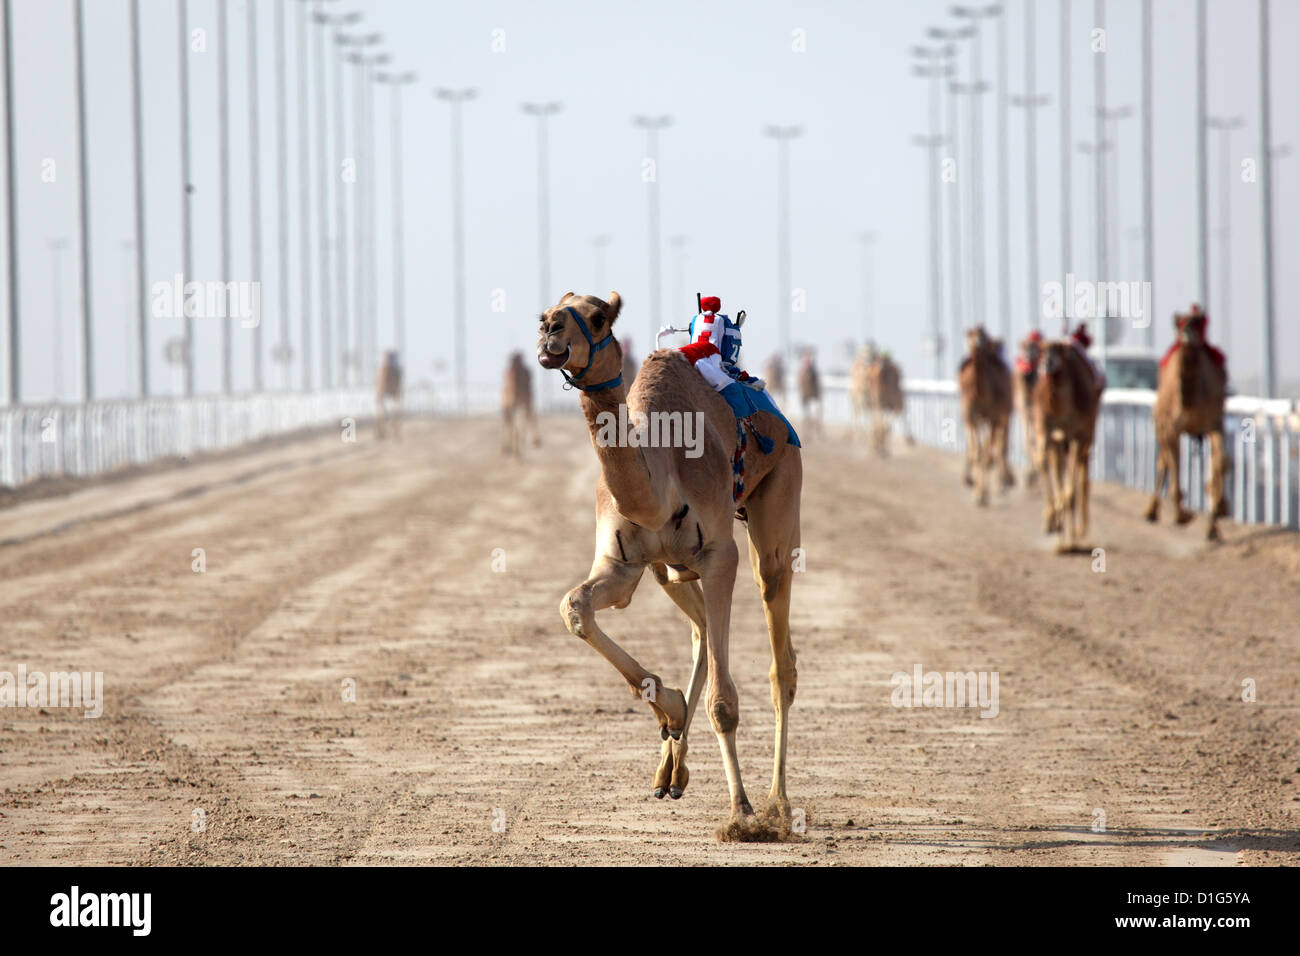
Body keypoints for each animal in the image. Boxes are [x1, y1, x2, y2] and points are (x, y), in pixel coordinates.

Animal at [536, 291, 802, 837]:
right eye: (546, 312)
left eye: (597, 318)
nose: (550, 334)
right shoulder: (622, 565)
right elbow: (575, 607)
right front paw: (671, 708)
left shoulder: (721, 556)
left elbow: (724, 701)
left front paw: (741, 814)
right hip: (670, 571)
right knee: (700, 631)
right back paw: (671, 768)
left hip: (779, 495)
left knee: (779, 654)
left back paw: (778, 805)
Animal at [958, 327, 1014, 504]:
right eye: (970, 334)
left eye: (982, 334)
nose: (978, 344)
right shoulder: (970, 417)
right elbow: (977, 453)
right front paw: (978, 494)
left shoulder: (994, 418)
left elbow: (987, 454)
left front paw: (983, 494)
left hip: (1006, 413)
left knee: (1001, 446)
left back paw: (1005, 483)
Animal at [1032, 336, 1101, 552]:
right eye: (1042, 350)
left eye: (1059, 351)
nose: (1047, 363)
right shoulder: (1049, 434)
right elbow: (1046, 467)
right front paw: (1056, 528)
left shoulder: (1076, 436)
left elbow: (1070, 492)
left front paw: (1068, 543)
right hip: (1060, 443)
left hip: (1086, 436)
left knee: (1081, 478)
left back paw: (1076, 533)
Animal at [1144, 305, 1229, 541]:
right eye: (1179, 323)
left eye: (1198, 322)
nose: (1187, 335)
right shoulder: (1171, 428)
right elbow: (1174, 464)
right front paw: (1182, 516)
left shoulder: (1214, 424)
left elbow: (1220, 462)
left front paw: (1218, 514)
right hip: (1160, 424)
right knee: (1163, 462)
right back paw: (1151, 511)